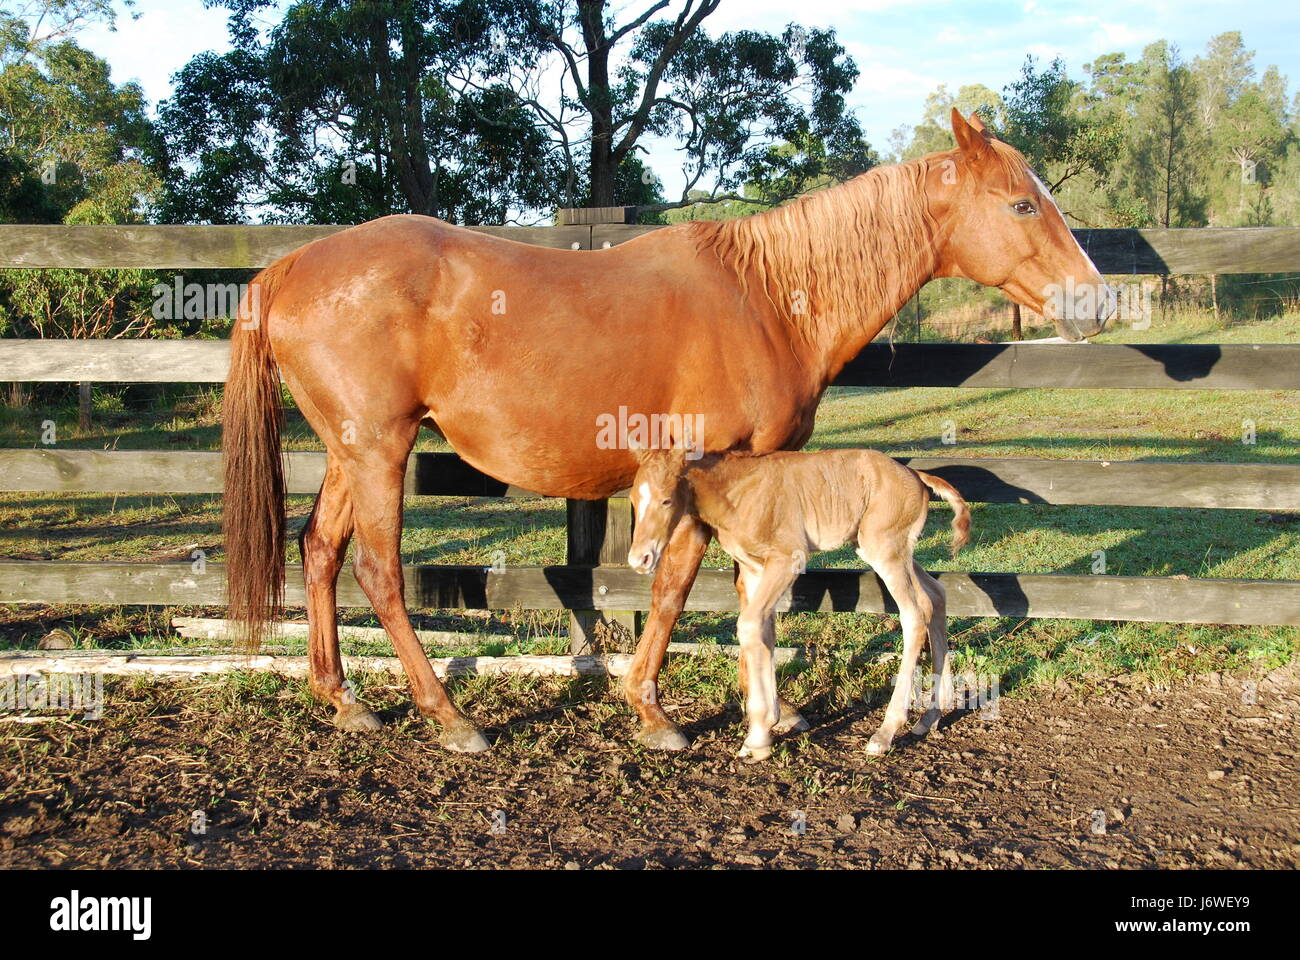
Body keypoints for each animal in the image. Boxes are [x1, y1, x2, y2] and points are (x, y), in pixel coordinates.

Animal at [625, 447, 971, 761]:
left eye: (666, 500)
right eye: (633, 501)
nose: (639, 559)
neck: (736, 493)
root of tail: (916, 475)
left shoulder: (788, 557)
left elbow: (748, 625)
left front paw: (758, 736)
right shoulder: (755, 569)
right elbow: (763, 631)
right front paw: (765, 731)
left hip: (885, 548)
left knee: (914, 614)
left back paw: (885, 733)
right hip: (893, 550)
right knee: (936, 595)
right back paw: (931, 717)